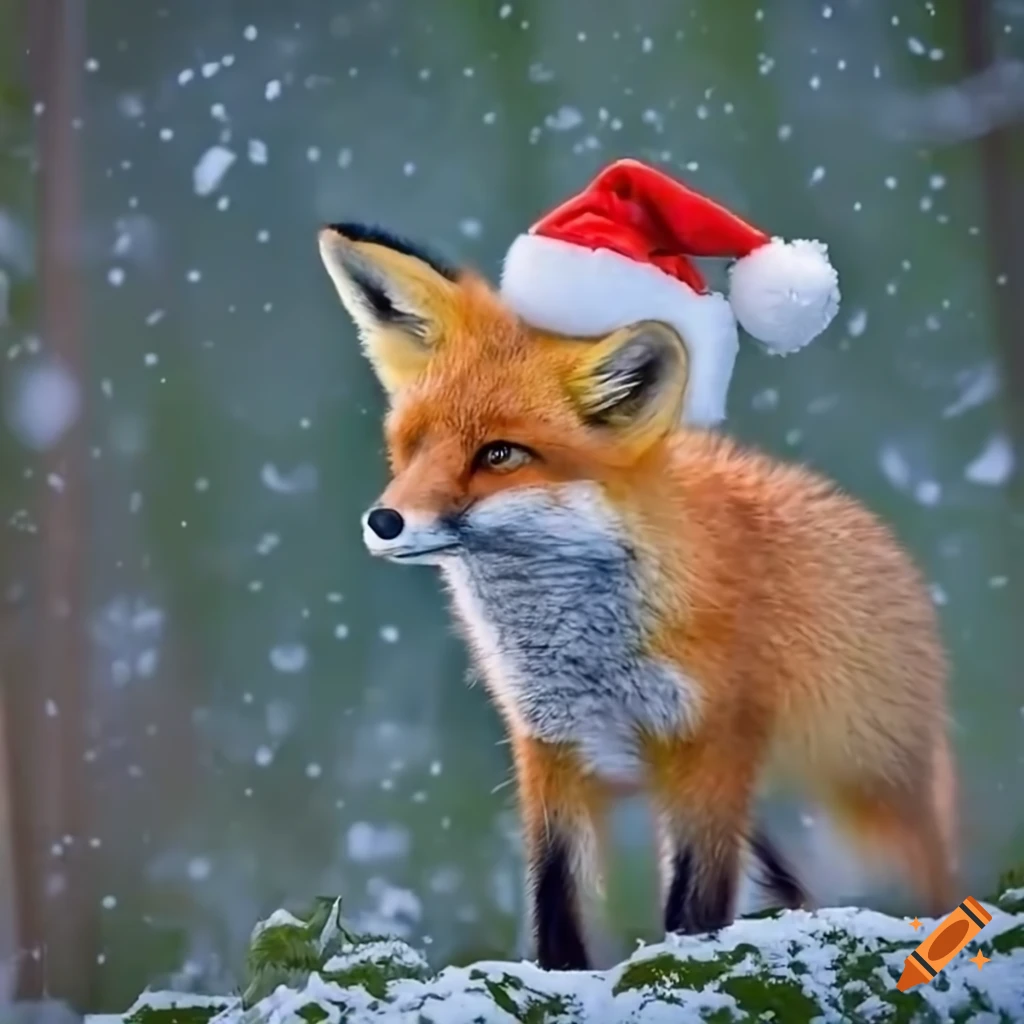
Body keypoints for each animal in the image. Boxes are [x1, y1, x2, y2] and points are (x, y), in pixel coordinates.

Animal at [317, 221, 958, 972]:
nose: (384, 522)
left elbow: (694, 910)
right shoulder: (552, 749)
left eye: (500, 455)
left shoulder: (709, 749)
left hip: (857, 818)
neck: (585, 657)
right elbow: (558, 907)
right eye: (413, 444)